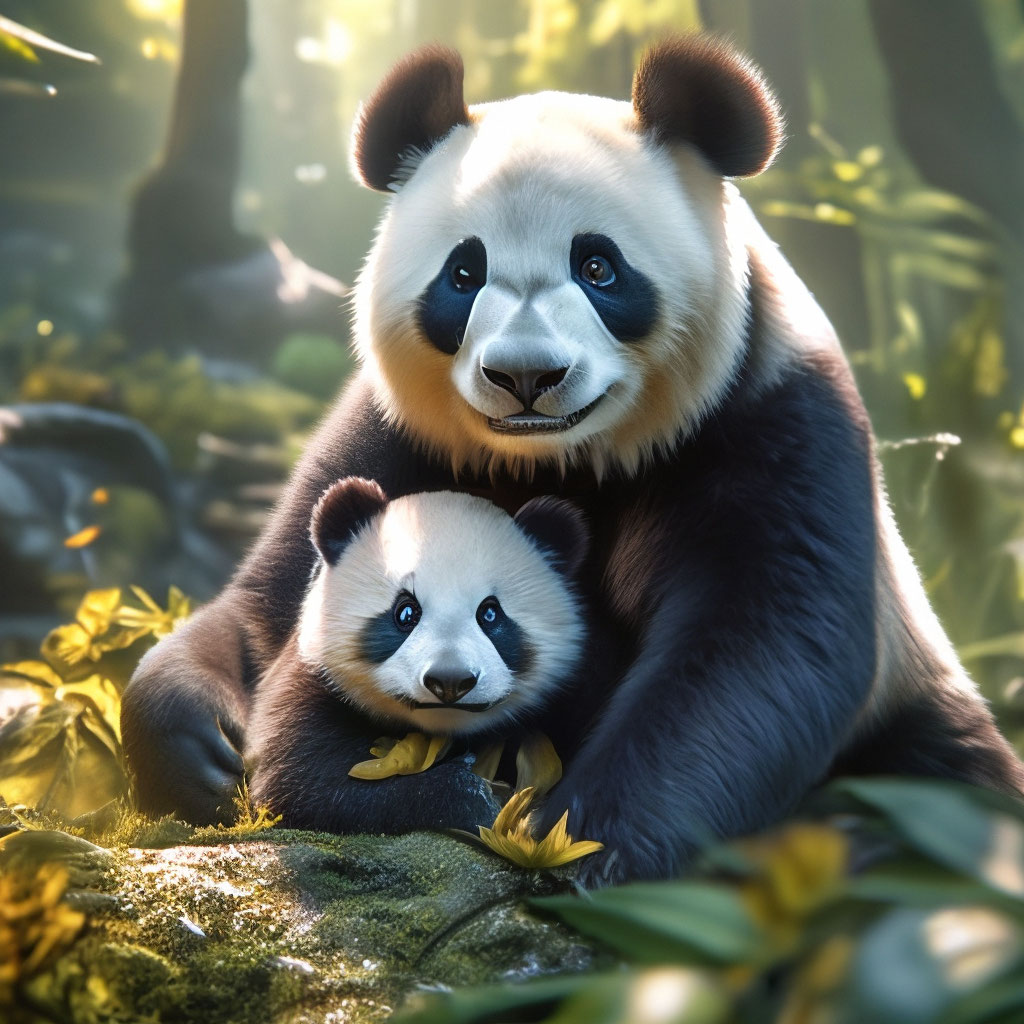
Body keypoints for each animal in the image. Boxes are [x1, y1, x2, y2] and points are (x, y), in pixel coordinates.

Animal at [245, 476, 591, 833]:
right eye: (406, 612)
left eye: (490, 614)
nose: (450, 681)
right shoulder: (313, 682)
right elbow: (305, 780)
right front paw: (471, 798)